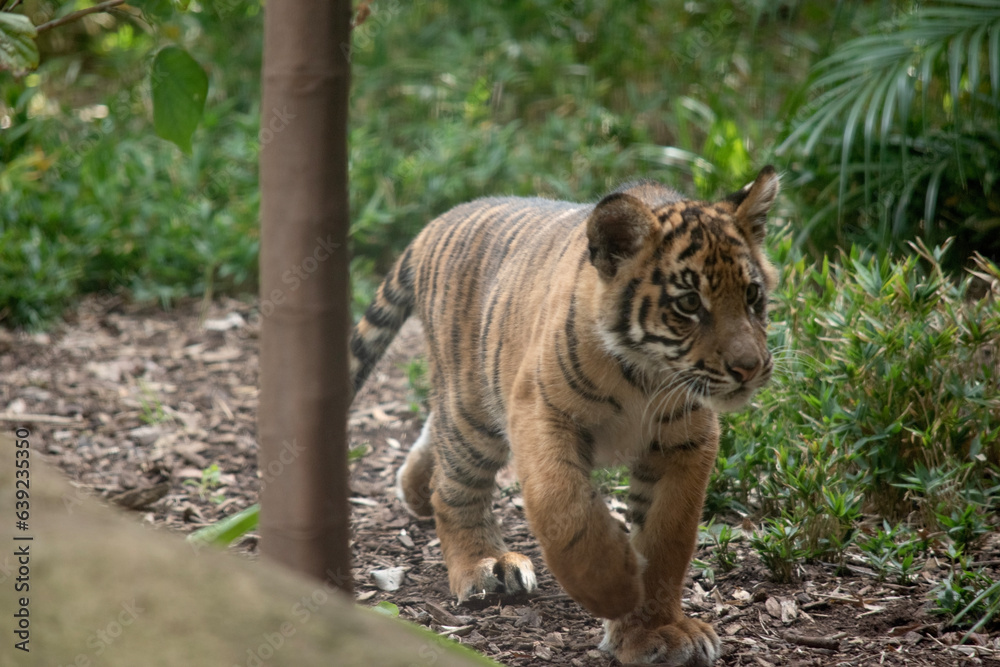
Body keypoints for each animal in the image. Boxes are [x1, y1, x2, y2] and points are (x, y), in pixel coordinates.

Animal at [349, 166, 780, 666]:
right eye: (689, 302)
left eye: (752, 294)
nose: (749, 367)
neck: (647, 375)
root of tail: (436, 223)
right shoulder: (540, 411)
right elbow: (565, 509)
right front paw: (614, 589)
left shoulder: (684, 441)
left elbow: (668, 537)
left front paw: (656, 631)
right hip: (474, 408)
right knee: (453, 486)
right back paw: (483, 565)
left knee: (432, 440)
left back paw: (414, 490)